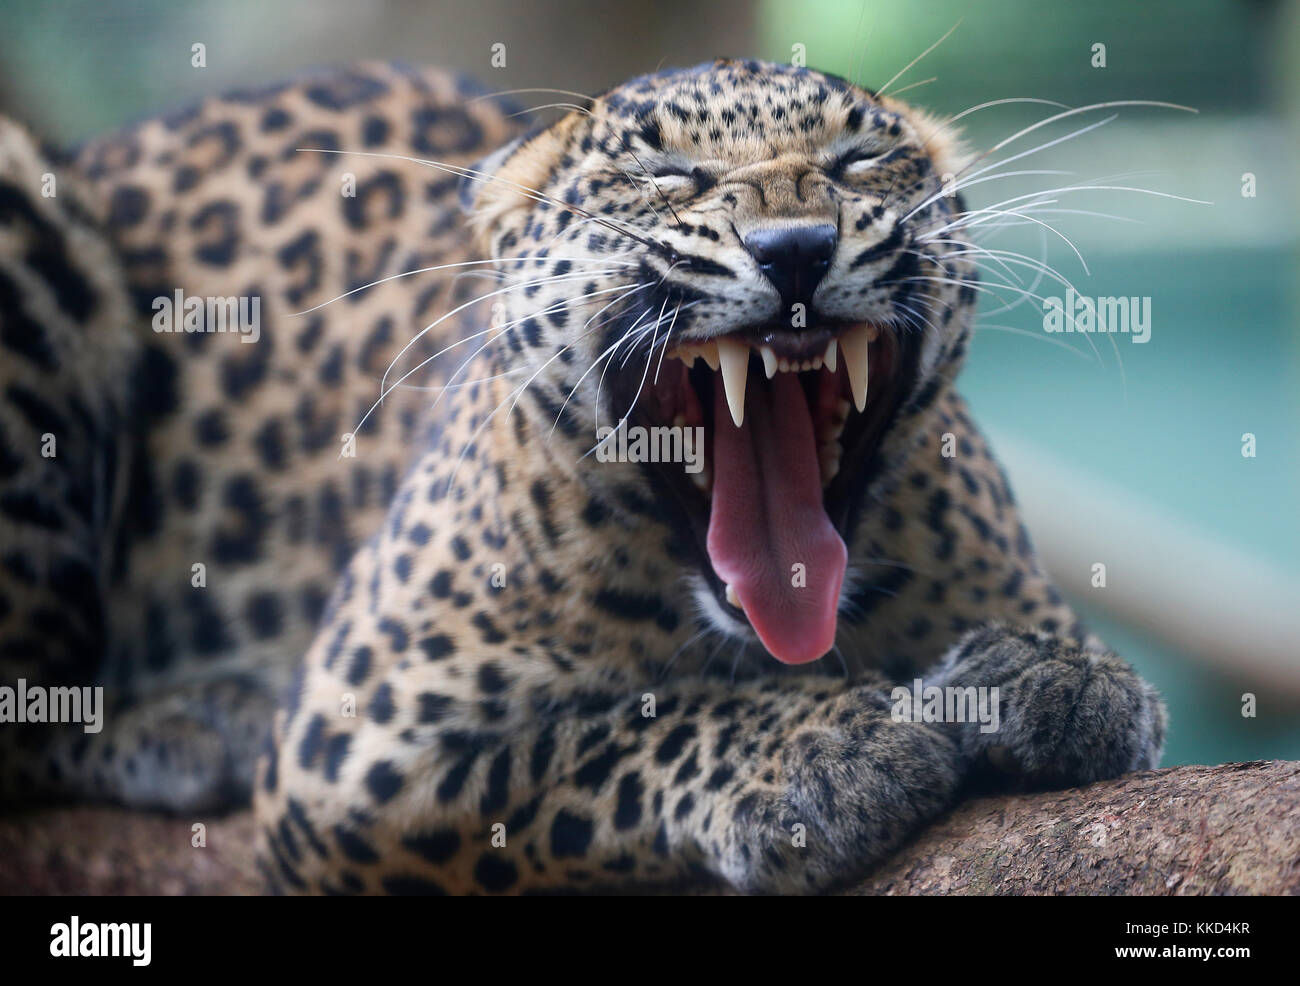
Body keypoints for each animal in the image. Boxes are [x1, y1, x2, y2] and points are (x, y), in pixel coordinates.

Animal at [0, 58, 1165, 894]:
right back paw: (194, 725)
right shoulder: (348, 751)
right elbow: (601, 739)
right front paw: (824, 751)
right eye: (665, 178)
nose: (795, 243)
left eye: (856, 160)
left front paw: (1053, 675)